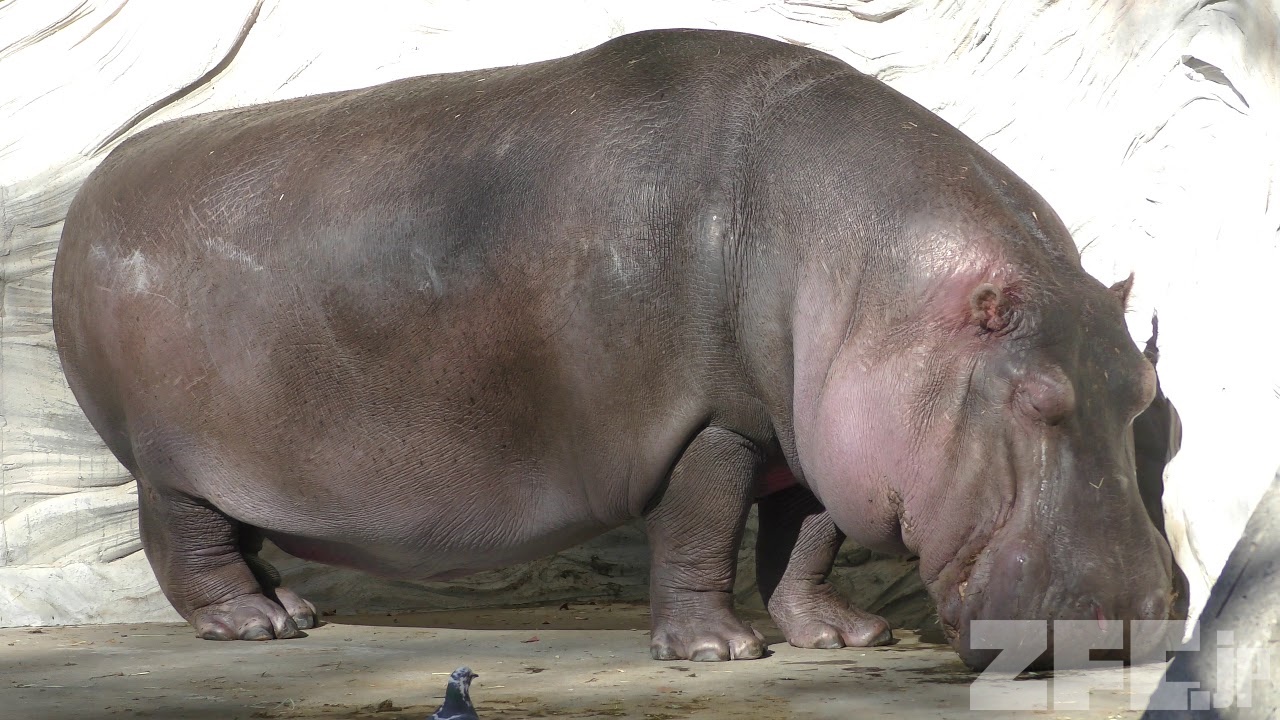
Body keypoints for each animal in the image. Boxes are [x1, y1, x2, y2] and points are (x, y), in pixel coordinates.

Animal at [51, 28, 1180, 669]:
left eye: (1144, 399)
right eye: (1036, 399)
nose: (1128, 617)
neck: (866, 272)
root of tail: (92, 188)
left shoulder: (810, 428)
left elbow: (806, 538)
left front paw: (846, 637)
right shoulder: (715, 420)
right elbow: (701, 530)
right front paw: (719, 651)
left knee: (235, 537)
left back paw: (295, 611)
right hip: (171, 461)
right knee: (186, 542)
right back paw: (254, 628)